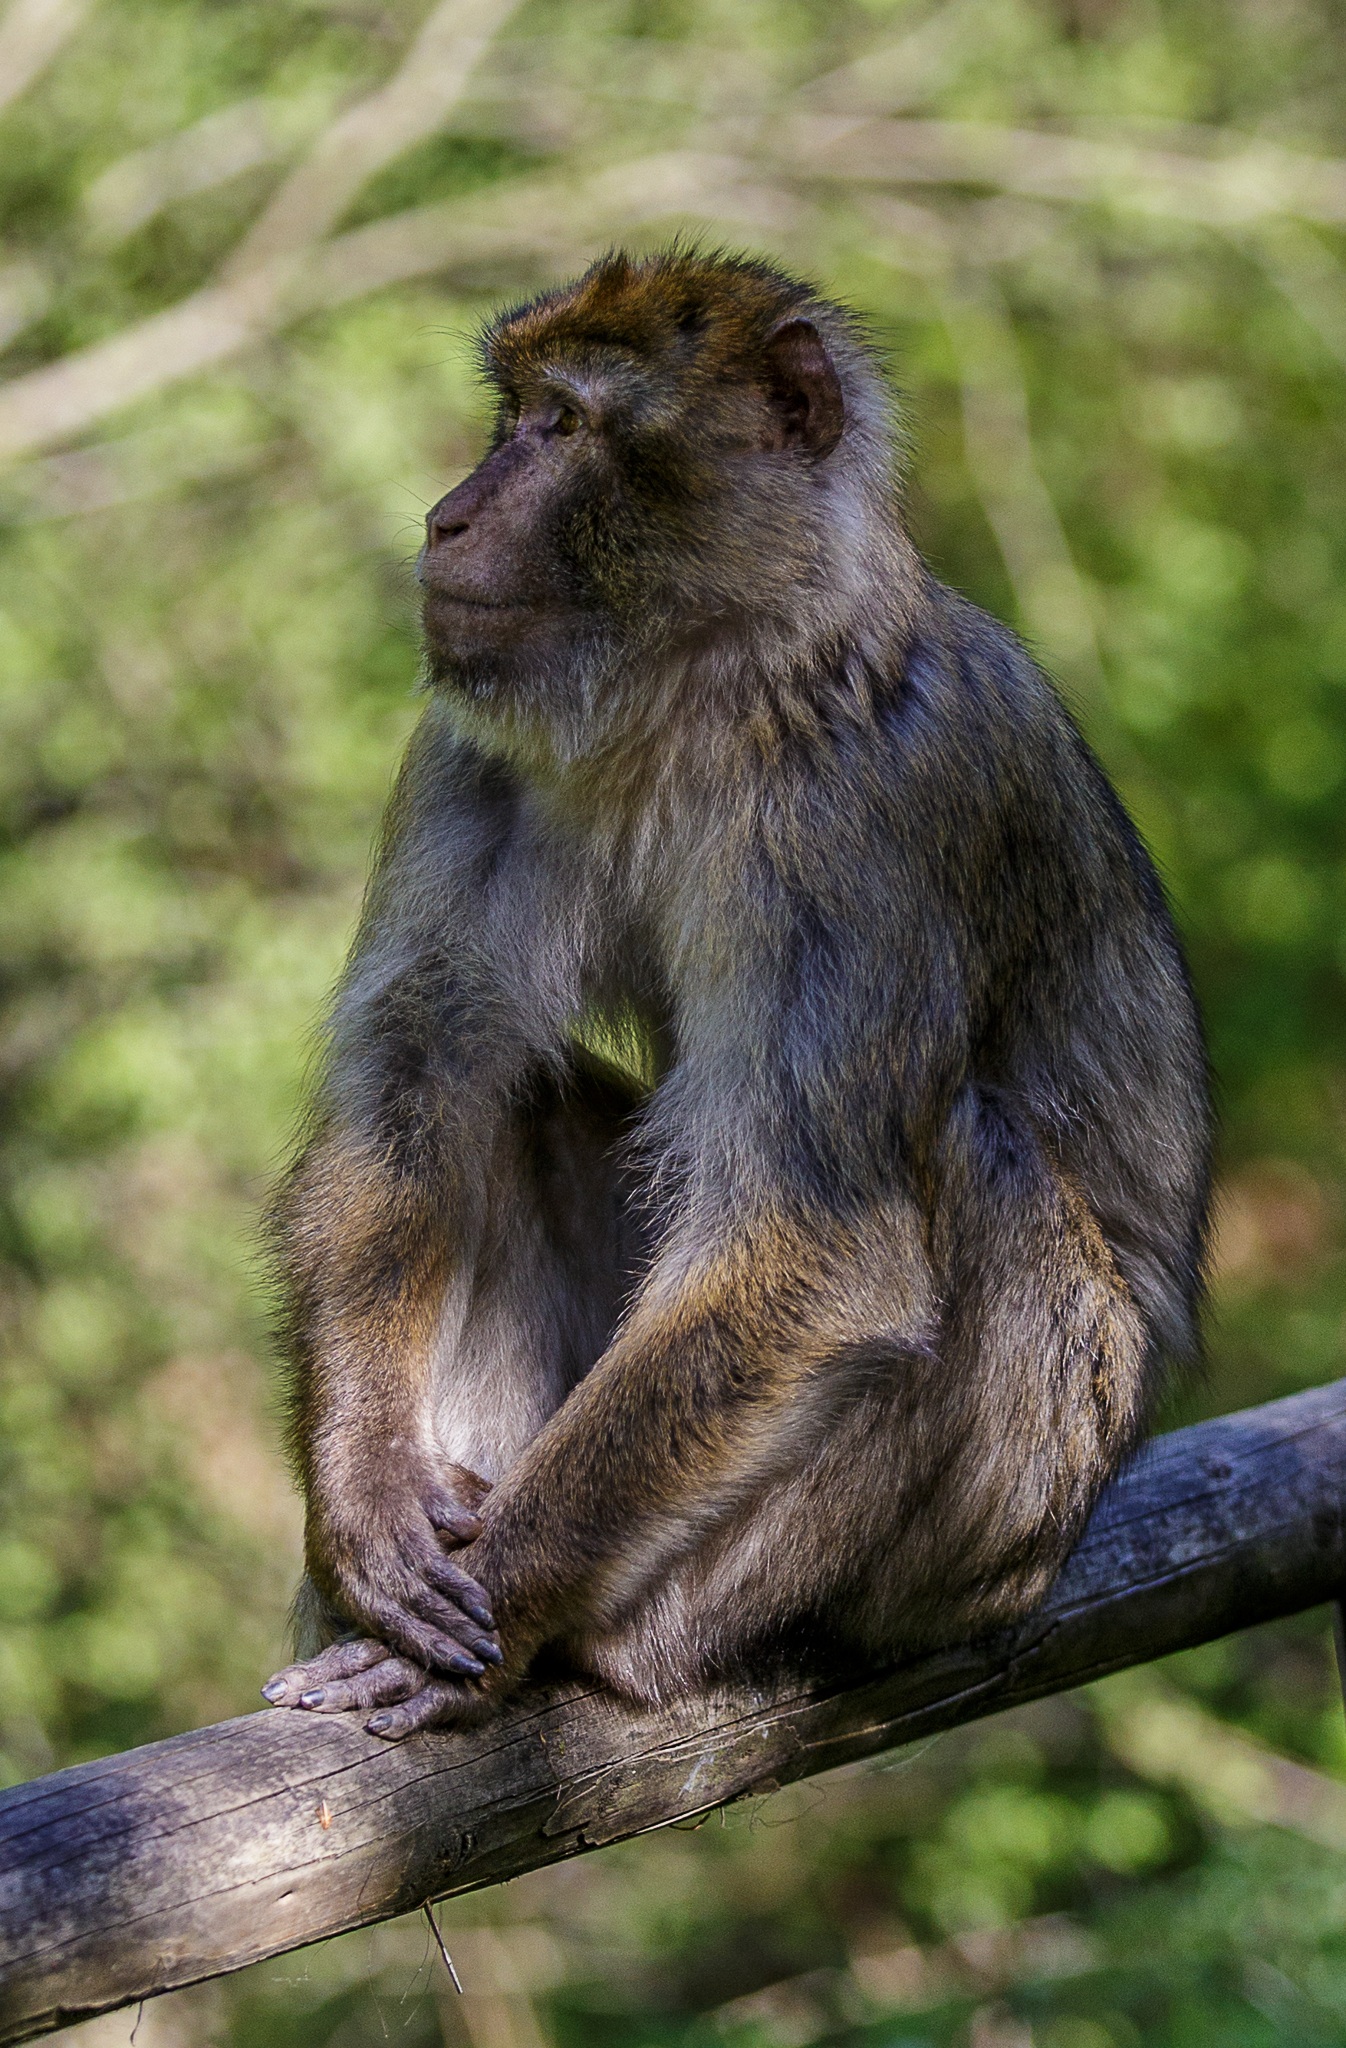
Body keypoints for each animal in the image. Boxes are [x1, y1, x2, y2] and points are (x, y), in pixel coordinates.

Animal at [260, 247, 1211, 1742]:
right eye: (513, 413)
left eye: (565, 426)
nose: (448, 515)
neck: (702, 684)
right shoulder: (474, 740)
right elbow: (420, 1069)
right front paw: (360, 1498)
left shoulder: (865, 810)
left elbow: (810, 1240)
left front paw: (507, 1589)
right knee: (509, 1095)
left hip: (994, 1515)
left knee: (965, 1159)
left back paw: (612, 1644)